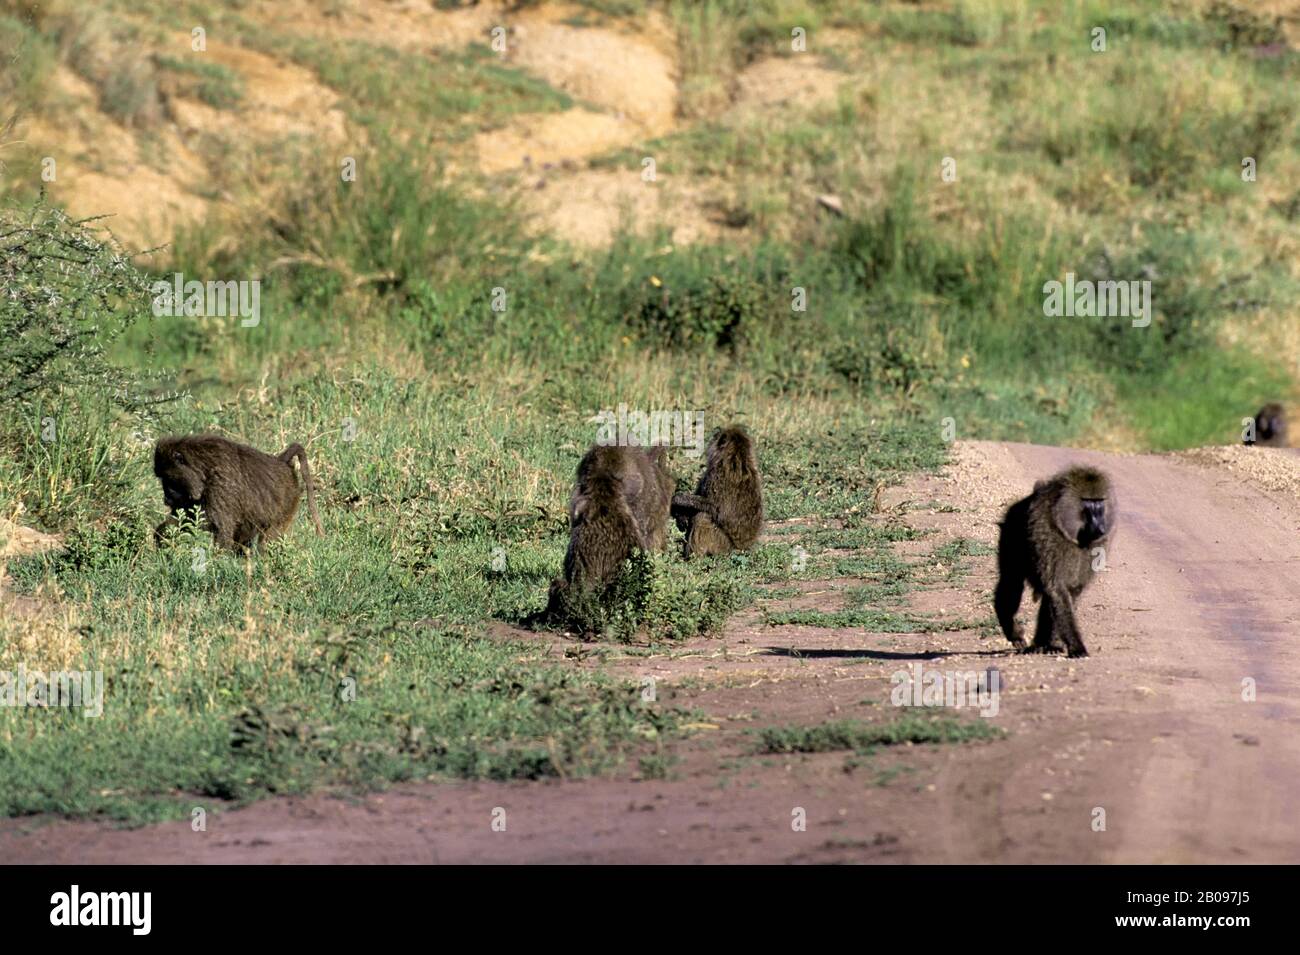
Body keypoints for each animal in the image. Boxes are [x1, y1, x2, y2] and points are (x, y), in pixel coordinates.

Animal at [153, 434, 323, 551]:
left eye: (168, 478)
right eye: (162, 478)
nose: (166, 499)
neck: (204, 468)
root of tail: (281, 462)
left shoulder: (221, 488)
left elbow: (221, 527)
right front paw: (162, 535)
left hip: (287, 503)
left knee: (268, 539)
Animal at [670, 425, 763, 558]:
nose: (712, 437)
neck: (736, 456)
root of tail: (742, 547)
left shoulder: (714, 474)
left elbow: (715, 508)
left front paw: (677, 499)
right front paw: (680, 514)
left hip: (722, 545)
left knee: (702, 517)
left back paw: (691, 557)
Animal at [993, 466, 1116, 659]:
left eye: (1100, 502)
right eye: (1088, 502)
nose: (1101, 528)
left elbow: (1069, 590)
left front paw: (1055, 643)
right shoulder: (1048, 539)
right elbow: (1056, 589)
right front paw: (1077, 647)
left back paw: (1043, 643)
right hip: (1011, 532)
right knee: (1011, 581)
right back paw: (1013, 631)